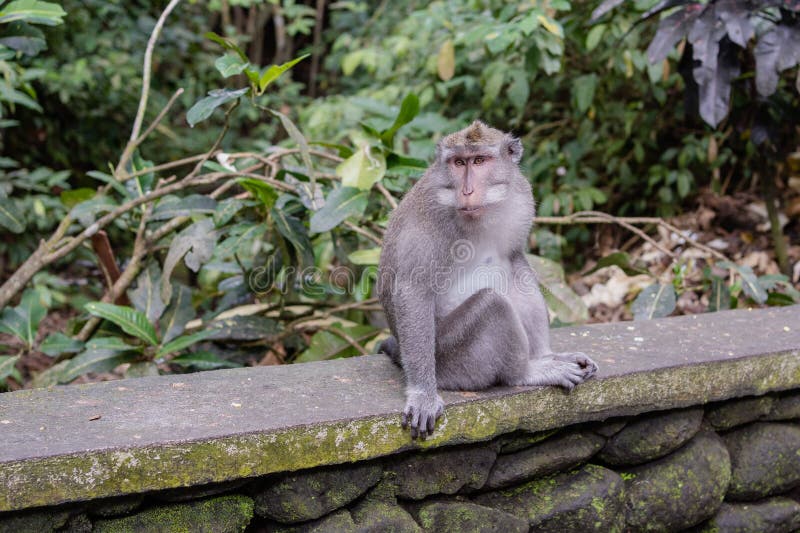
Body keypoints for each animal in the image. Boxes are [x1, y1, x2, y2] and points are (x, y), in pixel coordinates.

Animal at [376, 121, 598, 439]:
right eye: (459, 163)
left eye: (479, 161)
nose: (467, 190)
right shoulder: (432, 217)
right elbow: (413, 288)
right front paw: (423, 395)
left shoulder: (521, 196)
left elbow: (514, 259)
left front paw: (547, 355)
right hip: (451, 358)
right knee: (493, 304)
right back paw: (526, 373)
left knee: (514, 272)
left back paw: (543, 359)